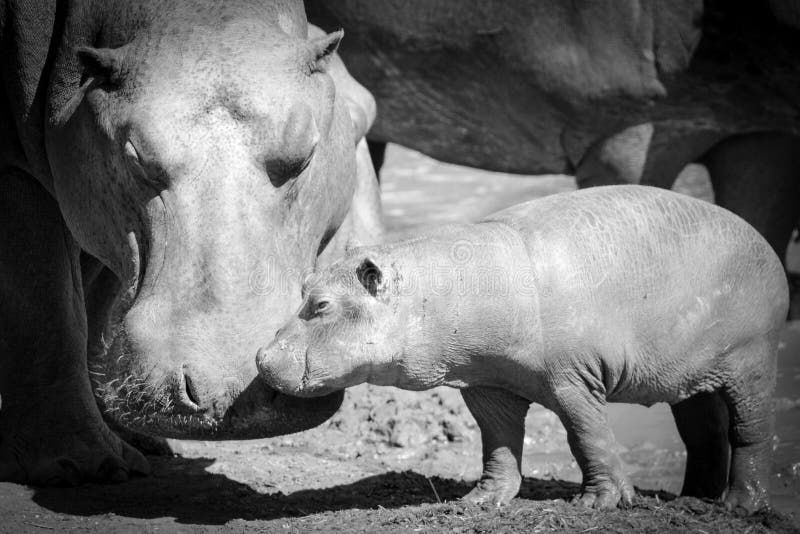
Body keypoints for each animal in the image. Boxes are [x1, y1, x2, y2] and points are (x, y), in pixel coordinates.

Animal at [0, 1, 381, 485]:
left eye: (305, 153)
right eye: (135, 156)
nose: (227, 393)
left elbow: (92, 304)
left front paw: (134, 447)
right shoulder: (15, 170)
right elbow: (47, 308)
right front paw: (86, 467)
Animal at [257, 186, 786, 512]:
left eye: (322, 304)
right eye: (304, 285)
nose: (261, 357)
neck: (441, 289)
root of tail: (768, 247)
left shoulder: (573, 378)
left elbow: (587, 436)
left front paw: (599, 503)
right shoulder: (485, 381)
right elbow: (498, 441)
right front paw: (480, 502)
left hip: (751, 360)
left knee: (750, 431)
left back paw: (738, 507)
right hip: (689, 374)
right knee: (705, 433)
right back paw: (691, 500)